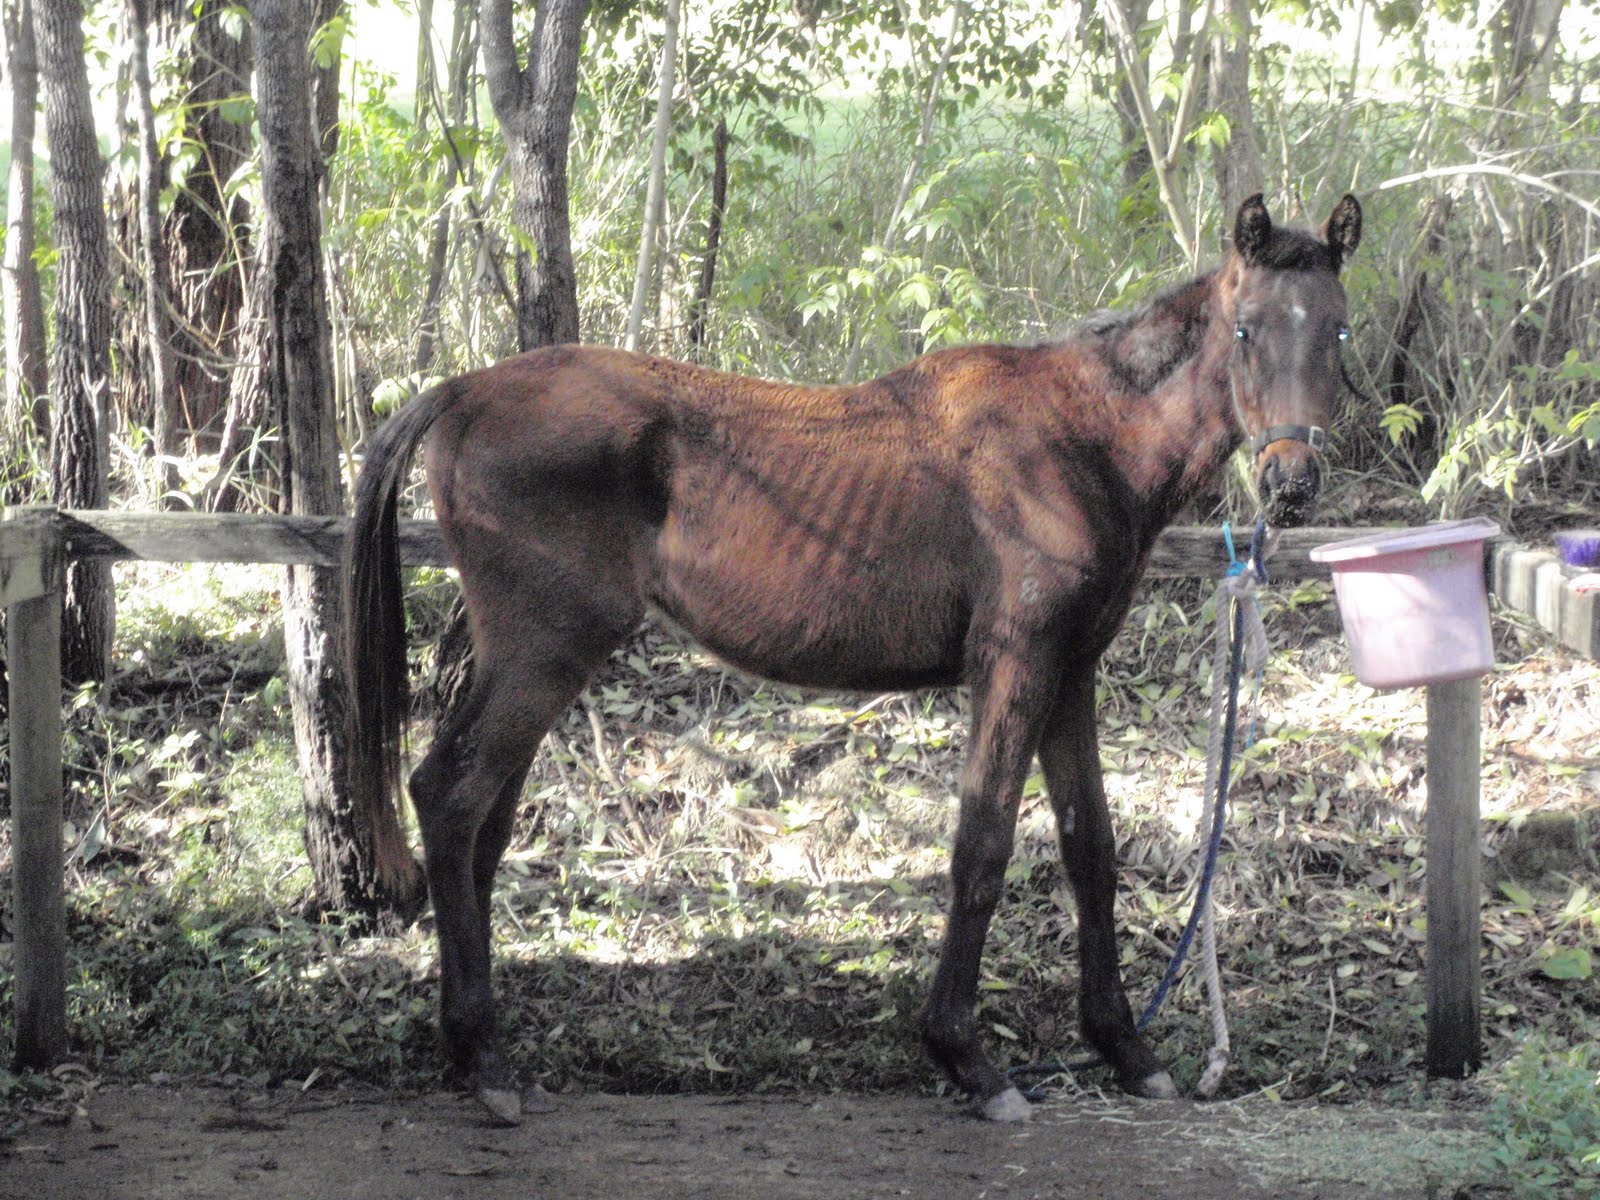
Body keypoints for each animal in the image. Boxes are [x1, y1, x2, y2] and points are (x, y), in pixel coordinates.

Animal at [343, 192, 1363, 1124]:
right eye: (1246, 329)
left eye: (1339, 329)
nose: (1293, 483)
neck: (1080, 437)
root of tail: (461, 391)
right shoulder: (1014, 665)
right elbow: (983, 847)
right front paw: (966, 1057)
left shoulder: (1070, 674)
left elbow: (1091, 849)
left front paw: (1123, 1046)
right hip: (543, 655)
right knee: (449, 796)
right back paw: (484, 1058)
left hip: (526, 662)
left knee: (476, 820)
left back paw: (466, 1047)